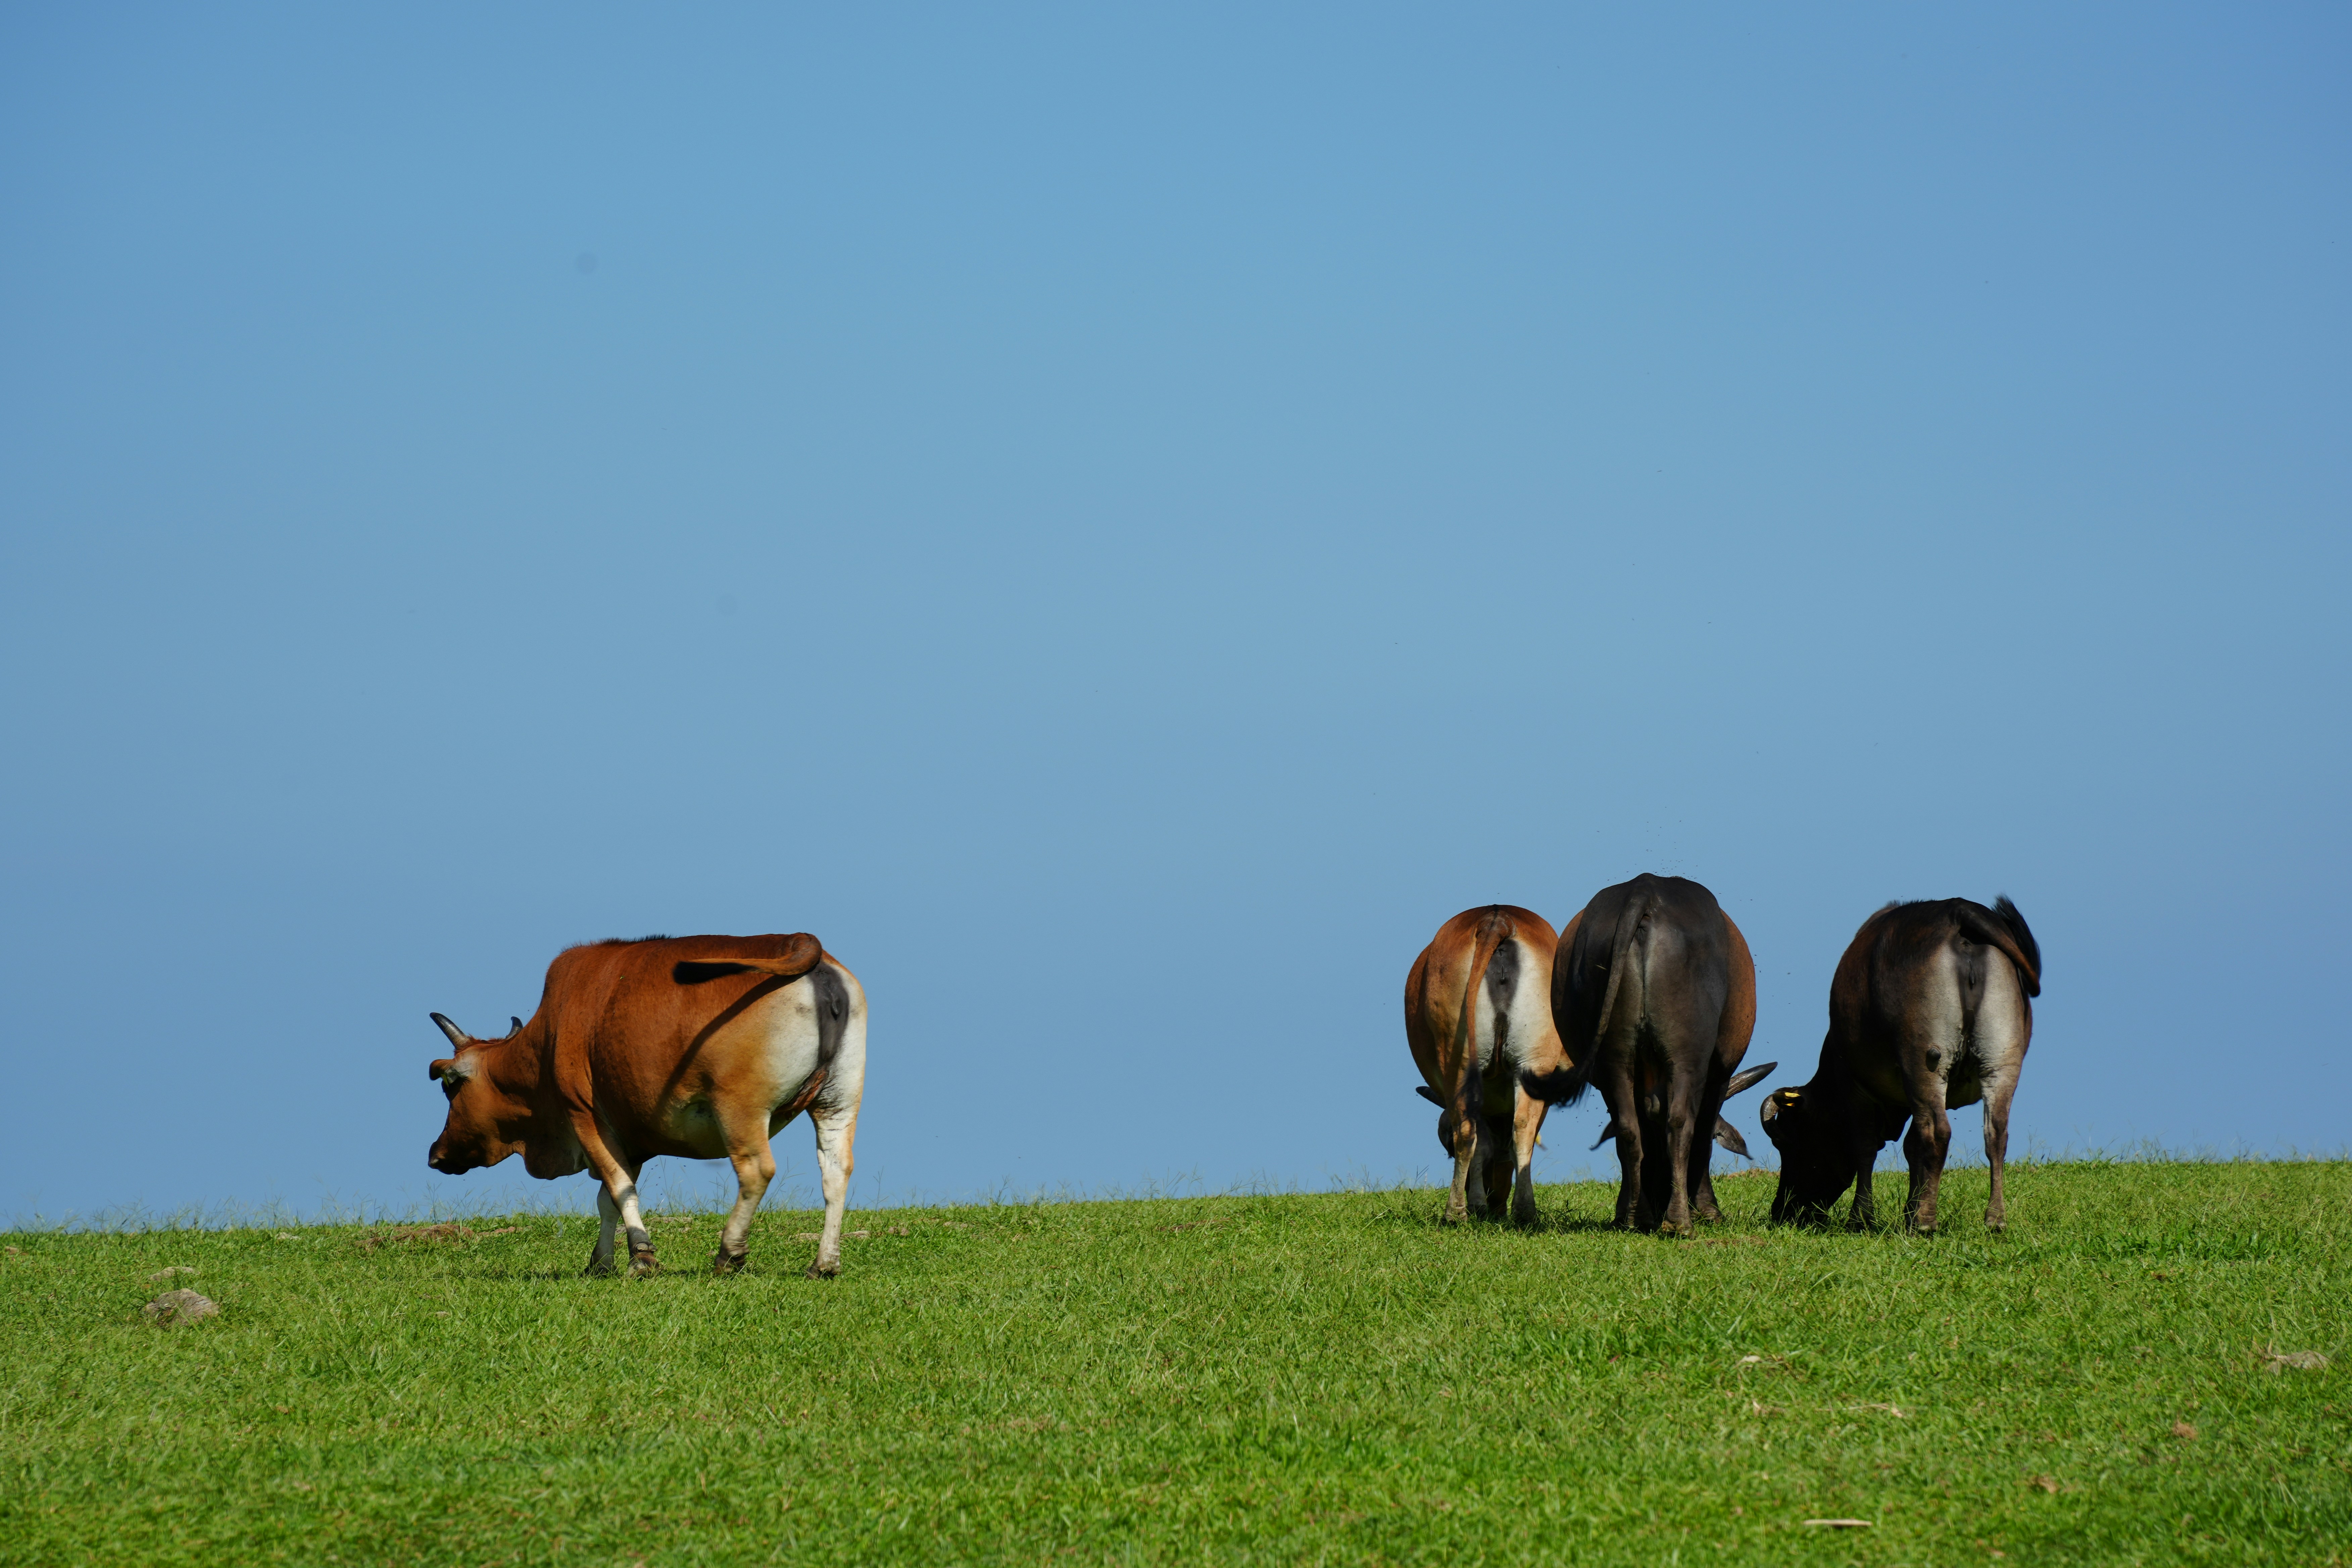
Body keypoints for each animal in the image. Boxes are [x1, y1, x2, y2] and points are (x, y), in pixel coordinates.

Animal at [424, 932, 866, 1279]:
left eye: (450, 1086)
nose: (435, 1154)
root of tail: (801, 942)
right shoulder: (628, 1135)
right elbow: (607, 1197)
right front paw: (601, 1262)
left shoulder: (585, 1114)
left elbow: (620, 1188)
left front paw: (641, 1257)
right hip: (839, 1101)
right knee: (836, 1170)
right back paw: (825, 1263)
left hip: (739, 1108)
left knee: (757, 1171)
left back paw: (729, 1254)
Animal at [1405, 905, 1572, 1225]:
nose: (1497, 1203)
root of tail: (1498, 917)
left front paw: (1479, 1204)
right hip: (1531, 1062)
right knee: (1521, 1129)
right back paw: (1522, 1211)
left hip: (1457, 1060)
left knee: (1467, 1129)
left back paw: (1456, 1211)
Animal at [1520, 874, 1768, 1236]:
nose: (1662, 1190)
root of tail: (1646, 889)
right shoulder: (1720, 1072)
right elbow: (1703, 1136)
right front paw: (1709, 1210)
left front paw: (1627, 1210)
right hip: (1687, 1056)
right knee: (1681, 1124)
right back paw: (1678, 1222)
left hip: (1613, 1057)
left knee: (1628, 1127)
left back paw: (1639, 1217)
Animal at [1759, 896, 2039, 1234]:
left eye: (1788, 1140)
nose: (1782, 1210)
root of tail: (1957, 910)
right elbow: (1911, 1146)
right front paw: (1908, 1210)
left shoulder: (1856, 1086)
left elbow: (1866, 1146)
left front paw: (1862, 1217)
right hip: (2000, 1060)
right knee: (1996, 1134)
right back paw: (1994, 1219)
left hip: (1924, 1061)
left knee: (1937, 1132)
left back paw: (1926, 1222)